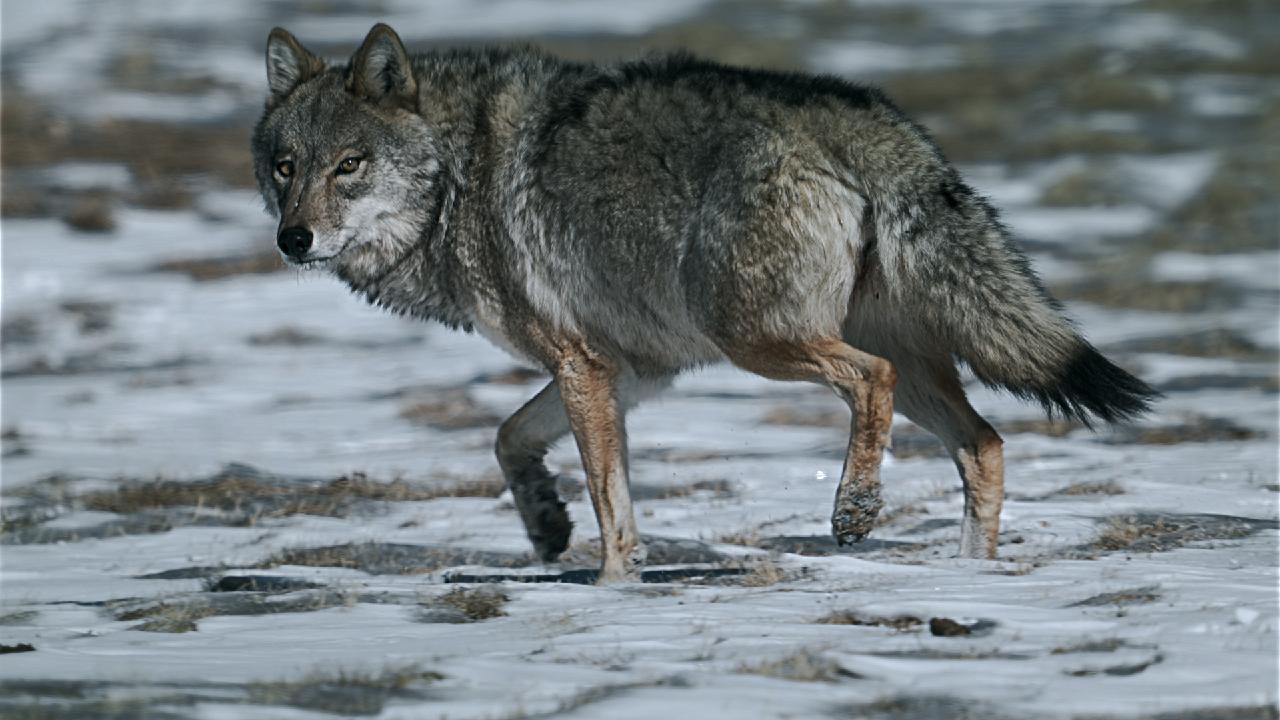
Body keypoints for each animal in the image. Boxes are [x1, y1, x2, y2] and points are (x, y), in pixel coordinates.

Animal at [251, 23, 1156, 582]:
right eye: (286, 166)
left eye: (350, 166)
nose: (292, 239)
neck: (457, 173)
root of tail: (862, 113)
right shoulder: (627, 369)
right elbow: (510, 438)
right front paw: (545, 525)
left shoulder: (584, 365)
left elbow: (610, 502)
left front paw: (612, 586)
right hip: (883, 362)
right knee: (986, 444)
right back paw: (973, 578)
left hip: (755, 341)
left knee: (872, 380)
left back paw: (855, 511)